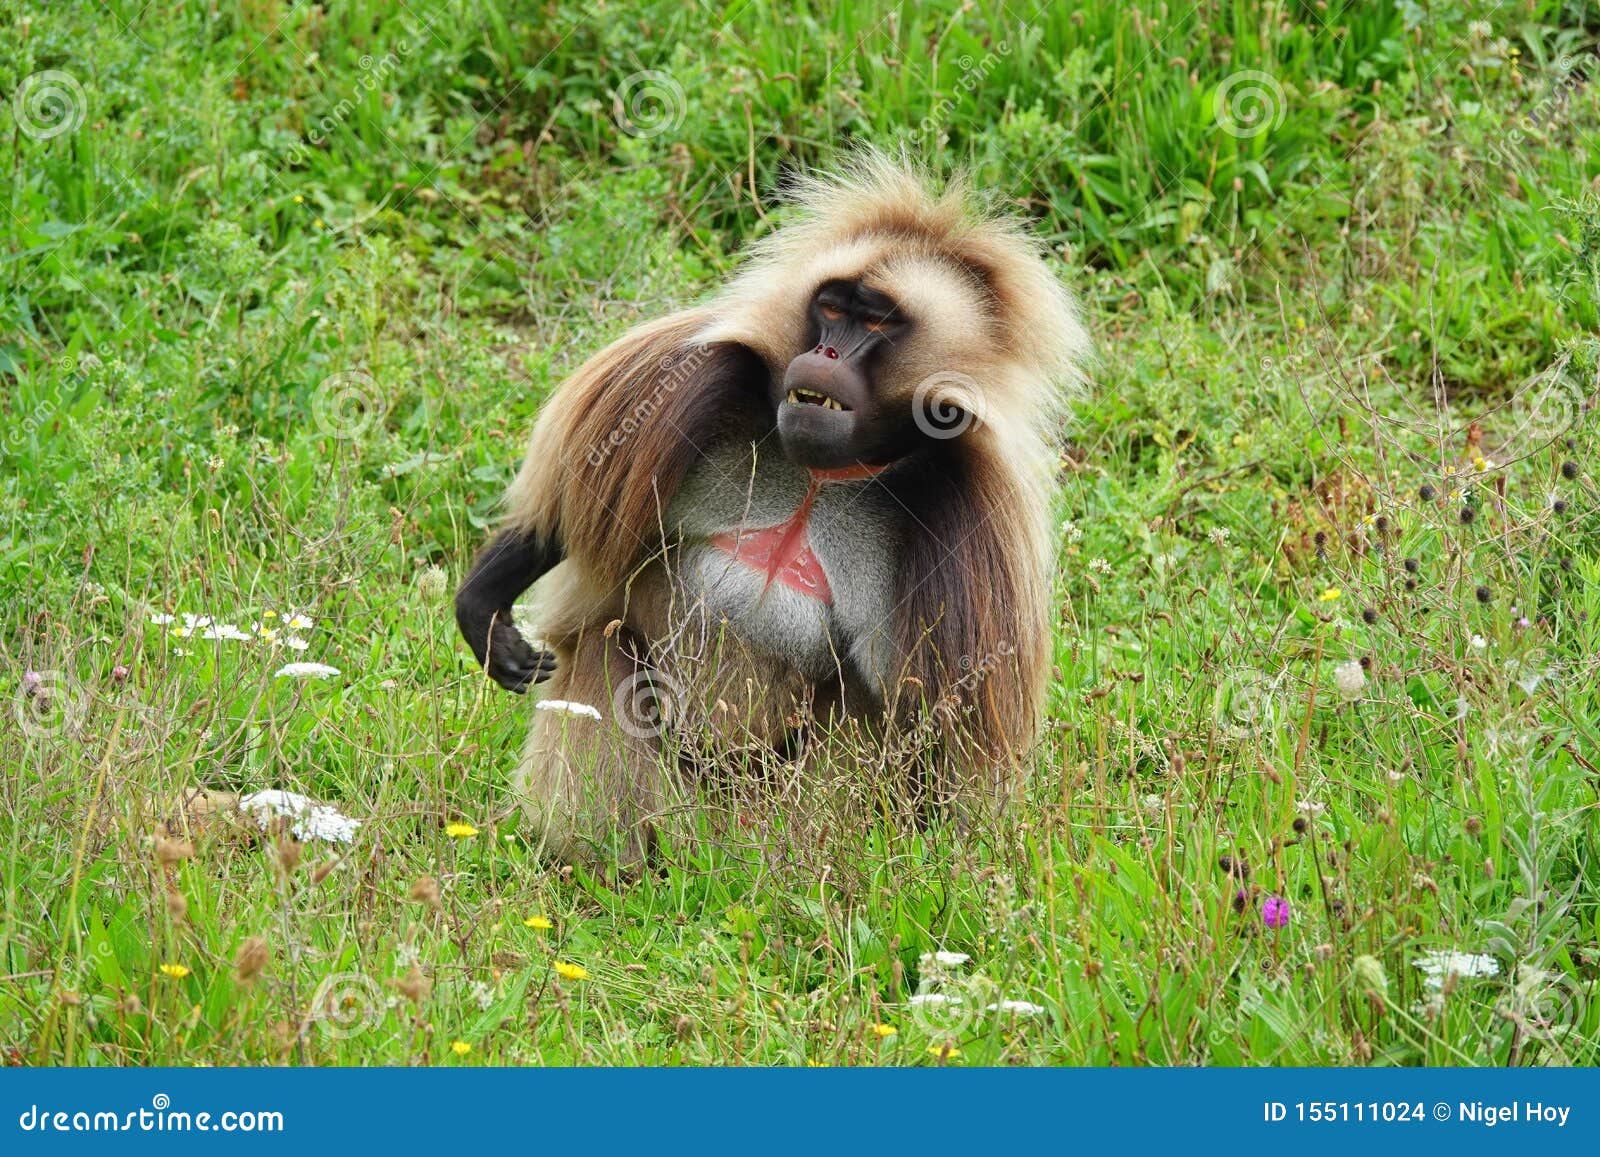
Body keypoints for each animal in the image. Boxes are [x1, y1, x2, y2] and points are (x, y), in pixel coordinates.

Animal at [455, 151, 1089, 864]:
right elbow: (573, 522)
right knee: (605, 647)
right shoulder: (689, 377)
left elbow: (933, 737)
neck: (826, 471)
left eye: (877, 323)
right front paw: (485, 610)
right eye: (831, 307)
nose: (825, 353)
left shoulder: (973, 518)